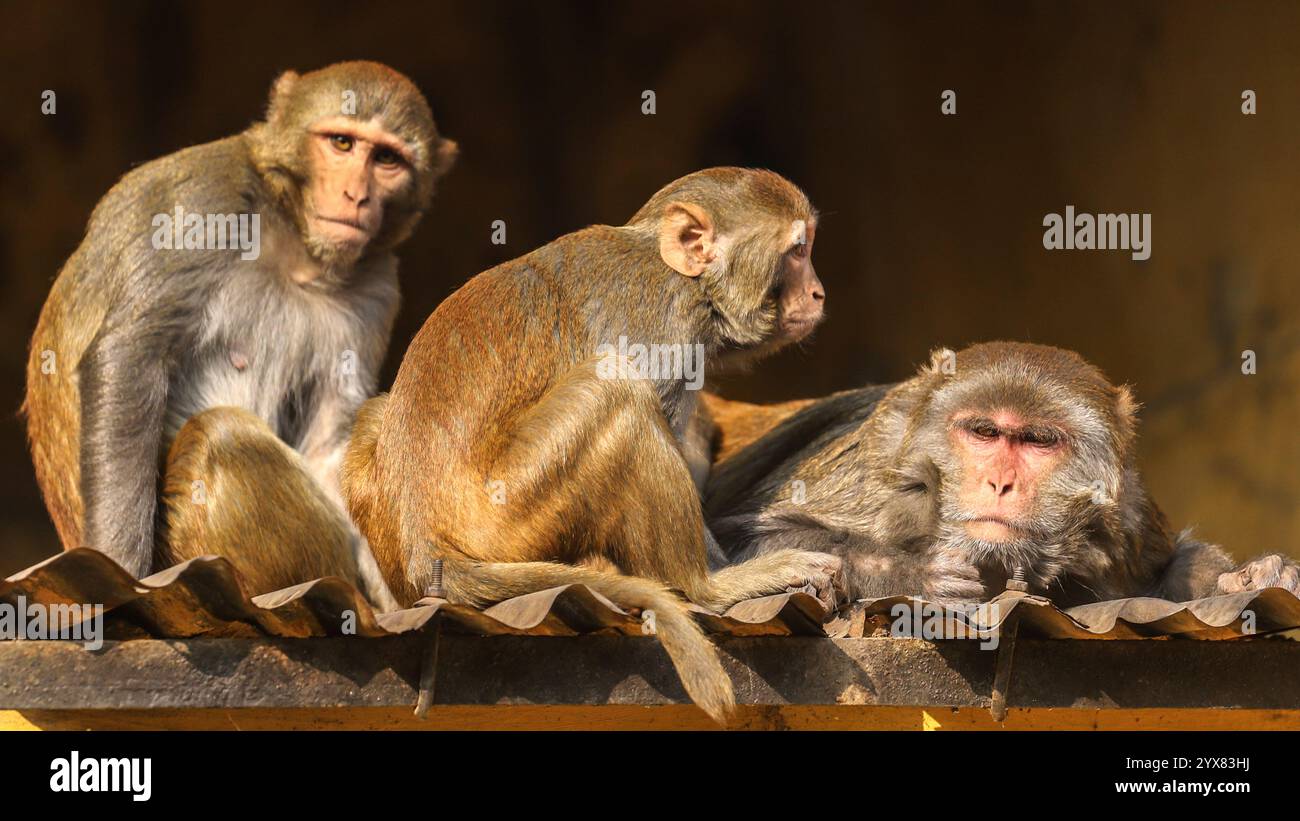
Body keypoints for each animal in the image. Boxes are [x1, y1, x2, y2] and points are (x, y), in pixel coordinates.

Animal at [23, 61, 457, 607]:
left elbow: (329, 449)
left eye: (387, 159)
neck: (294, 236)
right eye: (341, 142)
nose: (357, 196)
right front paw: (119, 566)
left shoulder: (376, 286)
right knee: (223, 437)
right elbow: (131, 352)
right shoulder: (201, 204)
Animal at [341, 167, 845, 722]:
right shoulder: (666, 332)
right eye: (798, 251)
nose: (819, 293)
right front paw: (720, 575)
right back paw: (708, 587)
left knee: (375, 415)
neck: (681, 276)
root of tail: (426, 548)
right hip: (511, 518)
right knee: (618, 387)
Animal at [703, 342, 1300, 608]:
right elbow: (747, 545)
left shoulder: (1128, 519)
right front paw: (913, 573)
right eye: (986, 432)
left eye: (1037, 441)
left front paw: (1247, 577)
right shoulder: (874, 474)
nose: (1000, 483)